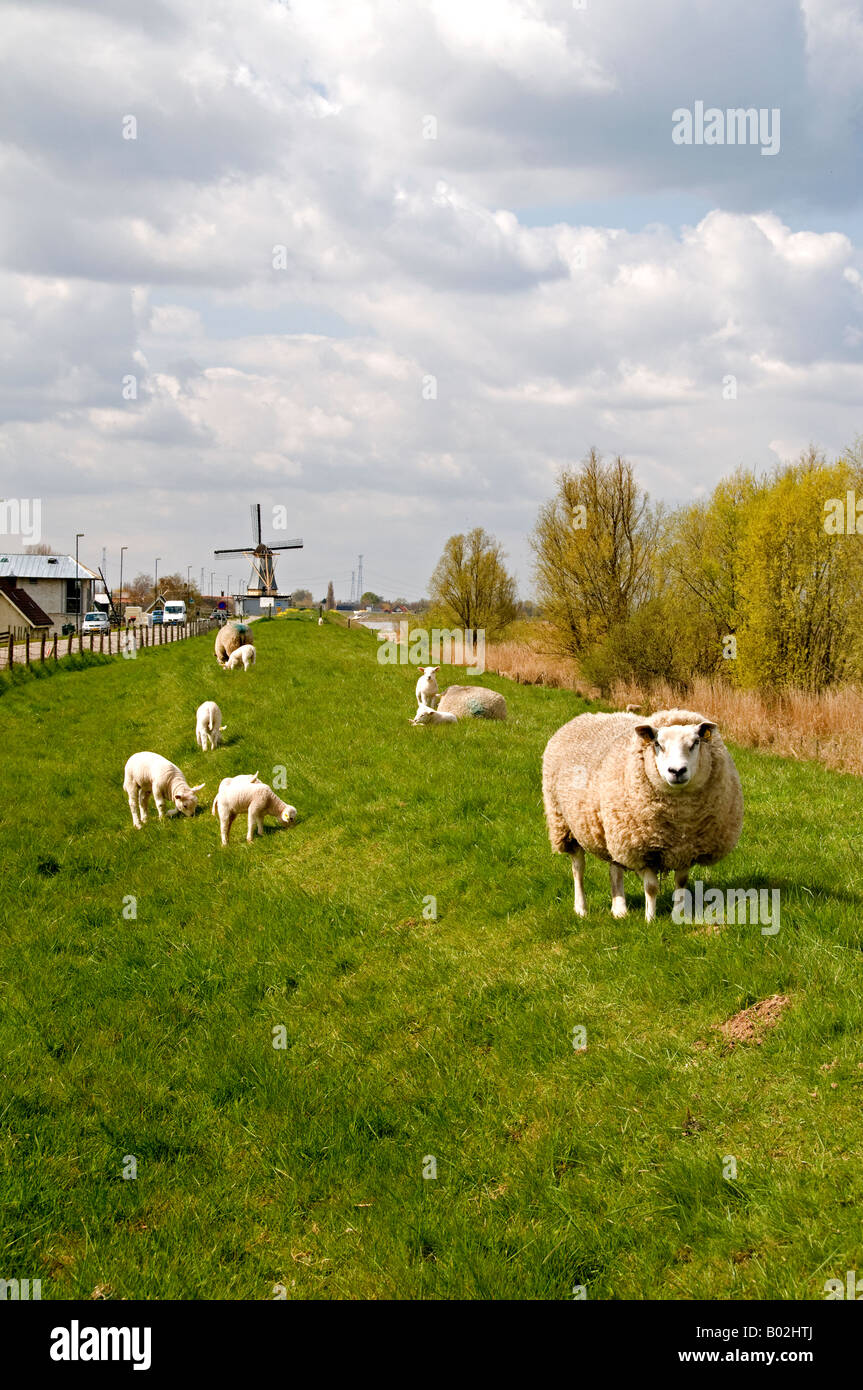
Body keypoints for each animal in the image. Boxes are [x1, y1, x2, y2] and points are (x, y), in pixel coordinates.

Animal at [542, 709, 743, 922]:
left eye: (695, 742)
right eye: (658, 744)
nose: (677, 771)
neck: (680, 820)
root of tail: (585, 716)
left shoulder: (686, 849)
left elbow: (681, 882)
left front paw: (678, 915)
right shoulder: (643, 849)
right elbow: (651, 887)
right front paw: (650, 919)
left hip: (615, 830)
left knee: (615, 869)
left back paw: (619, 909)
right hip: (565, 825)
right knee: (578, 869)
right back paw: (581, 909)